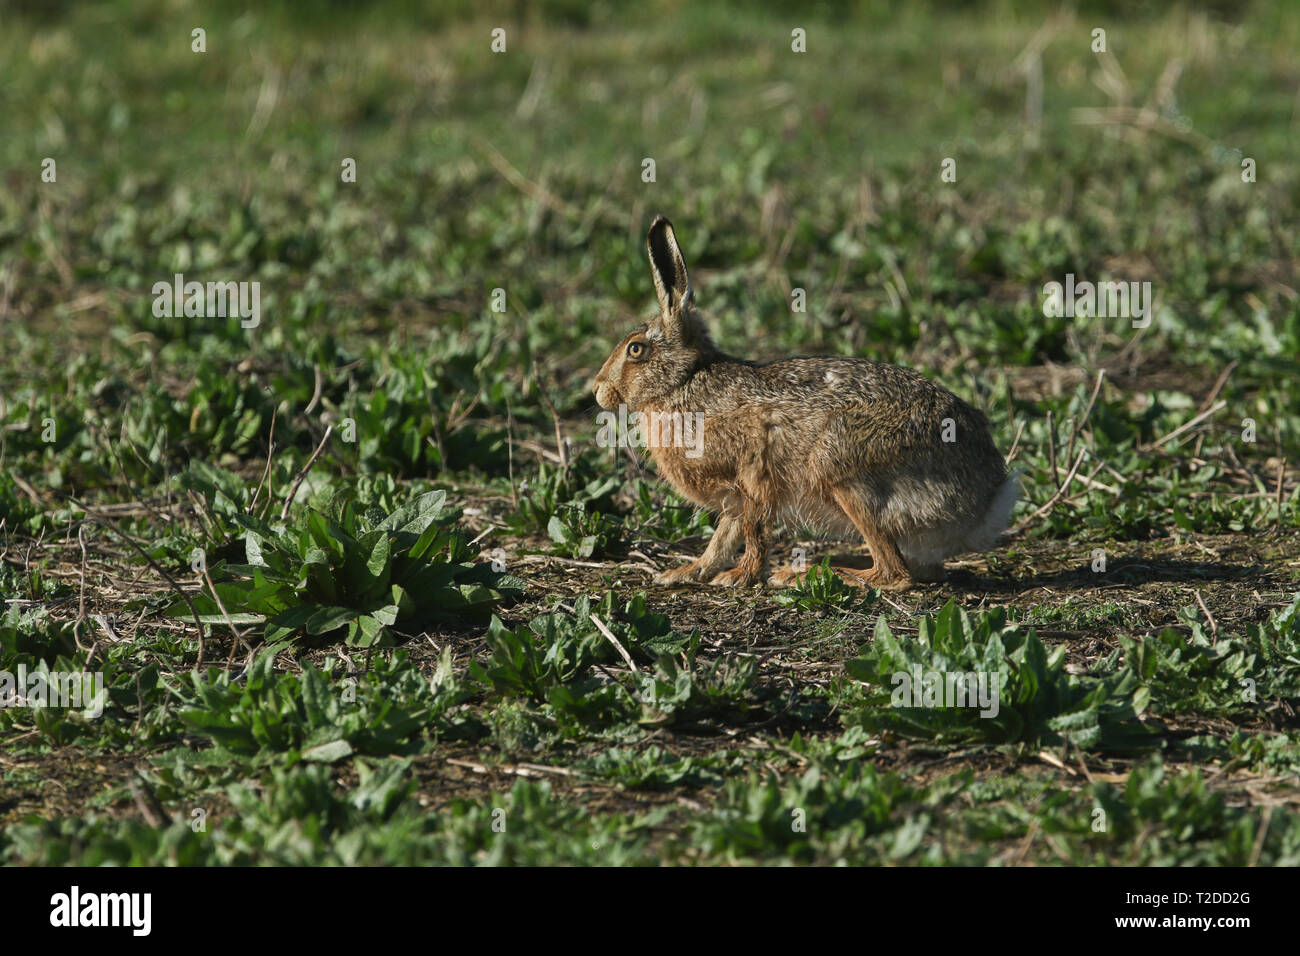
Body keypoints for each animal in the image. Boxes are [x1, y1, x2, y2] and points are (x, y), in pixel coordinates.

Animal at [592, 215, 1019, 591]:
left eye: (635, 349)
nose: (598, 391)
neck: (684, 381)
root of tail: (989, 496)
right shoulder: (734, 498)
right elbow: (723, 539)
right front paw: (686, 573)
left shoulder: (754, 473)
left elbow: (754, 532)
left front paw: (739, 578)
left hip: (842, 467)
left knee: (894, 574)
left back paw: (810, 576)